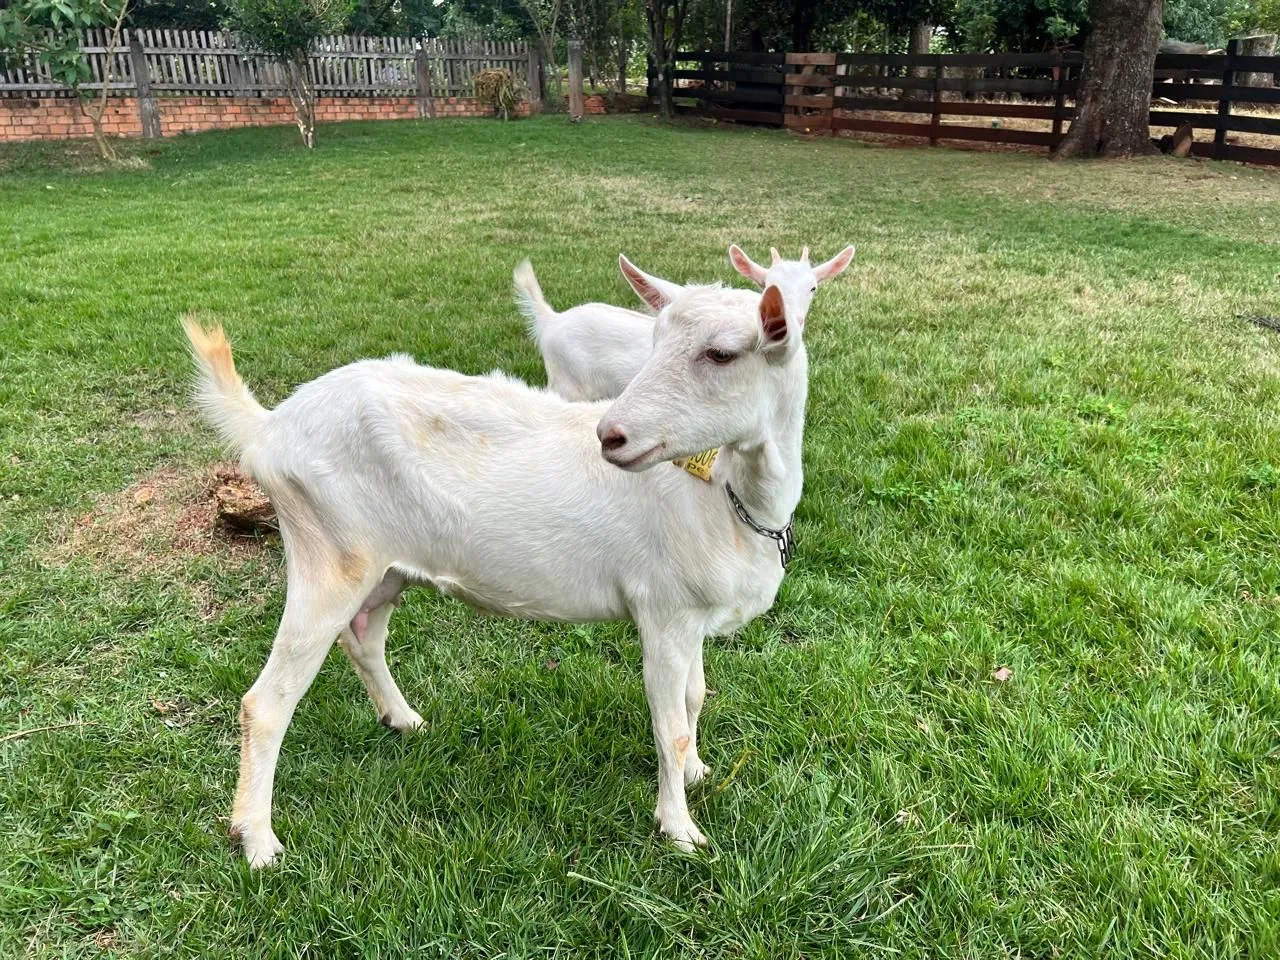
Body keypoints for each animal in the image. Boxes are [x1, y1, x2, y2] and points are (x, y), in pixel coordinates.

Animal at [183, 273, 808, 868]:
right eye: (651, 340)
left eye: (721, 353)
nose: (611, 435)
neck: (724, 499)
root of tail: (268, 428)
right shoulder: (662, 610)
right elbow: (670, 727)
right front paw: (680, 832)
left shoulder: (689, 612)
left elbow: (696, 697)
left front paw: (700, 773)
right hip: (328, 554)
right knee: (268, 702)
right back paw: (258, 842)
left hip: (384, 566)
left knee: (363, 638)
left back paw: (403, 720)